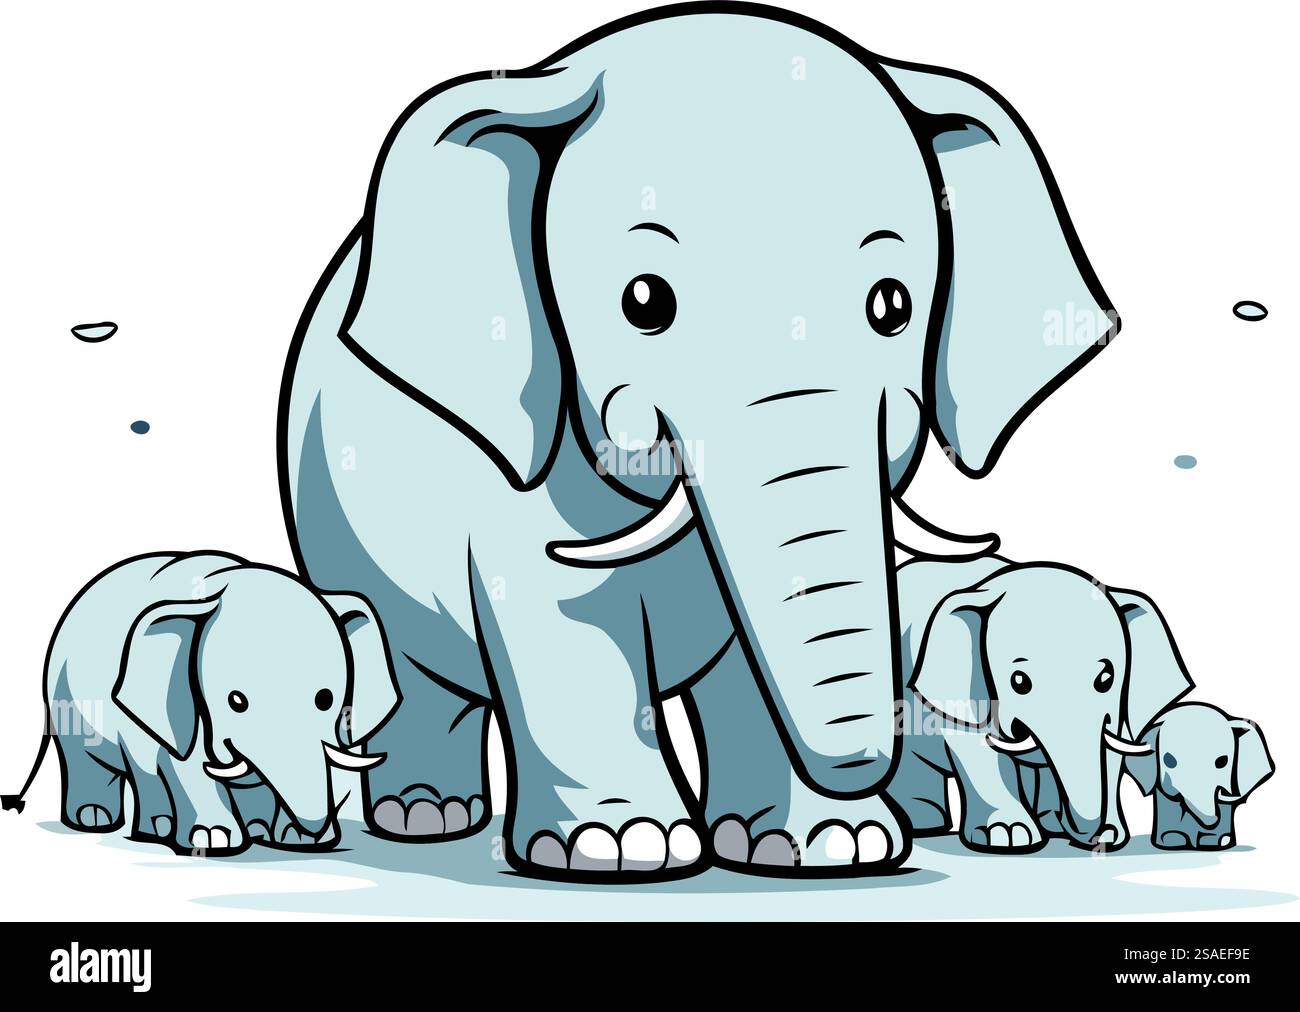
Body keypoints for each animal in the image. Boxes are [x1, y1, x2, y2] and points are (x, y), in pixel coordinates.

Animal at [2, 552, 399, 854]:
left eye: (325, 699)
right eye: (236, 701)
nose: (315, 829)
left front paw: (296, 840)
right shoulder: (177, 701)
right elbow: (186, 763)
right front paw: (215, 840)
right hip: (65, 698)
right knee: (91, 761)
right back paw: (100, 820)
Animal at [278, 4, 1119, 877]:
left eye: (892, 306)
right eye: (644, 301)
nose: (862, 771)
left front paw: (828, 846)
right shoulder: (518, 475)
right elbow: (569, 626)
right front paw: (624, 850)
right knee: (417, 673)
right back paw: (427, 816)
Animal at [889, 557, 1192, 852]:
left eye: (1106, 678)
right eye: (1019, 681)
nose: (1092, 834)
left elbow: (1111, 747)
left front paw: (1107, 834)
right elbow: (978, 749)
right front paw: (1007, 836)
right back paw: (924, 824)